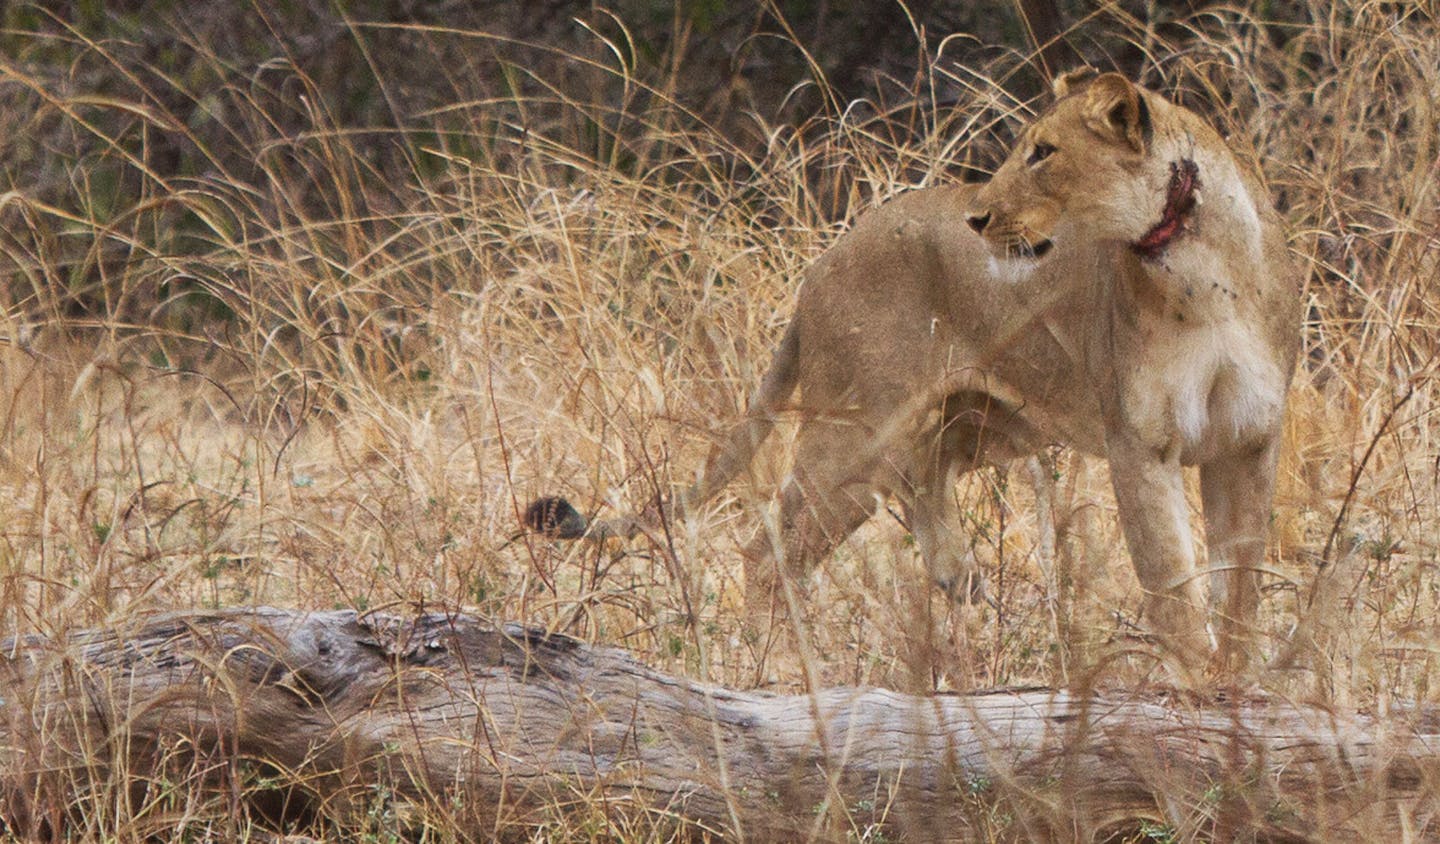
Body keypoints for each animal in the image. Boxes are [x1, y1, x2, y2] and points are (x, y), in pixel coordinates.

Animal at [527, 70, 1301, 670]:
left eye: (1044, 153)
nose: (979, 219)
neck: (1195, 271)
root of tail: (819, 269)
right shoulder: (1140, 442)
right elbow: (1171, 579)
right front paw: (1195, 692)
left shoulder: (1248, 440)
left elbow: (1242, 581)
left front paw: (1239, 690)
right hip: (858, 437)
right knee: (765, 552)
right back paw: (788, 673)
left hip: (962, 429)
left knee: (929, 512)